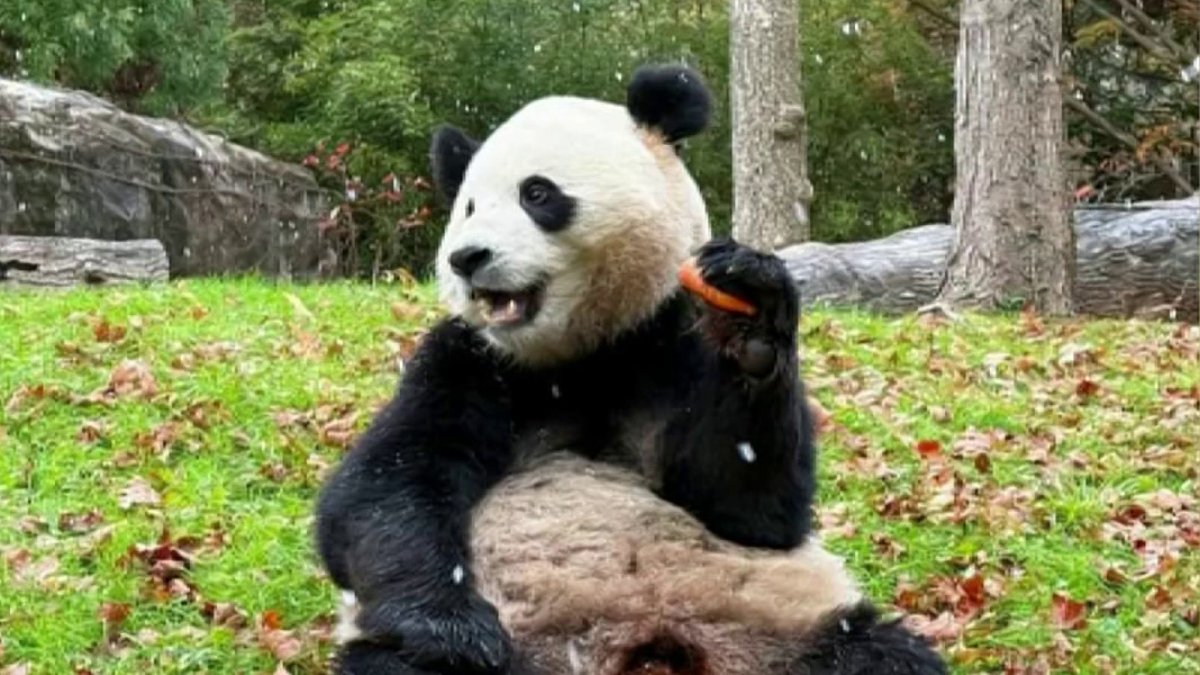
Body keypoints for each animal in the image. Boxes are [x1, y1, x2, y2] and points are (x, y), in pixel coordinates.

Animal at [314, 64, 947, 675]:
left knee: (880, 653)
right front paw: (452, 628)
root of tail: (646, 645)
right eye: (468, 207)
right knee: (398, 665)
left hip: (783, 623)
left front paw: (755, 318)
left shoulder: (670, 343)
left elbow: (752, 509)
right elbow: (385, 483)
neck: (581, 352)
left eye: (536, 193)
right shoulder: (468, 362)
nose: (467, 258)